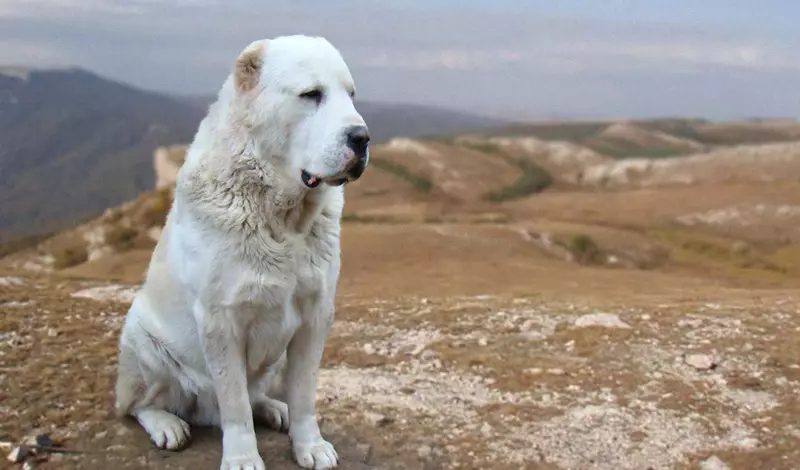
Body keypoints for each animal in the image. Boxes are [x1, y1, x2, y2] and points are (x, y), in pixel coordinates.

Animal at [114, 35, 370, 470]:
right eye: (311, 95)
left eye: (350, 95)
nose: (362, 137)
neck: (283, 219)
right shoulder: (221, 322)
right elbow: (234, 404)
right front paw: (242, 457)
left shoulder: (316, 315)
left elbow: (304, 393)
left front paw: (309, 444)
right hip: (141, 339)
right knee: (138, 405)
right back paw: (167, 424)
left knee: (257, 396)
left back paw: (273, 409)